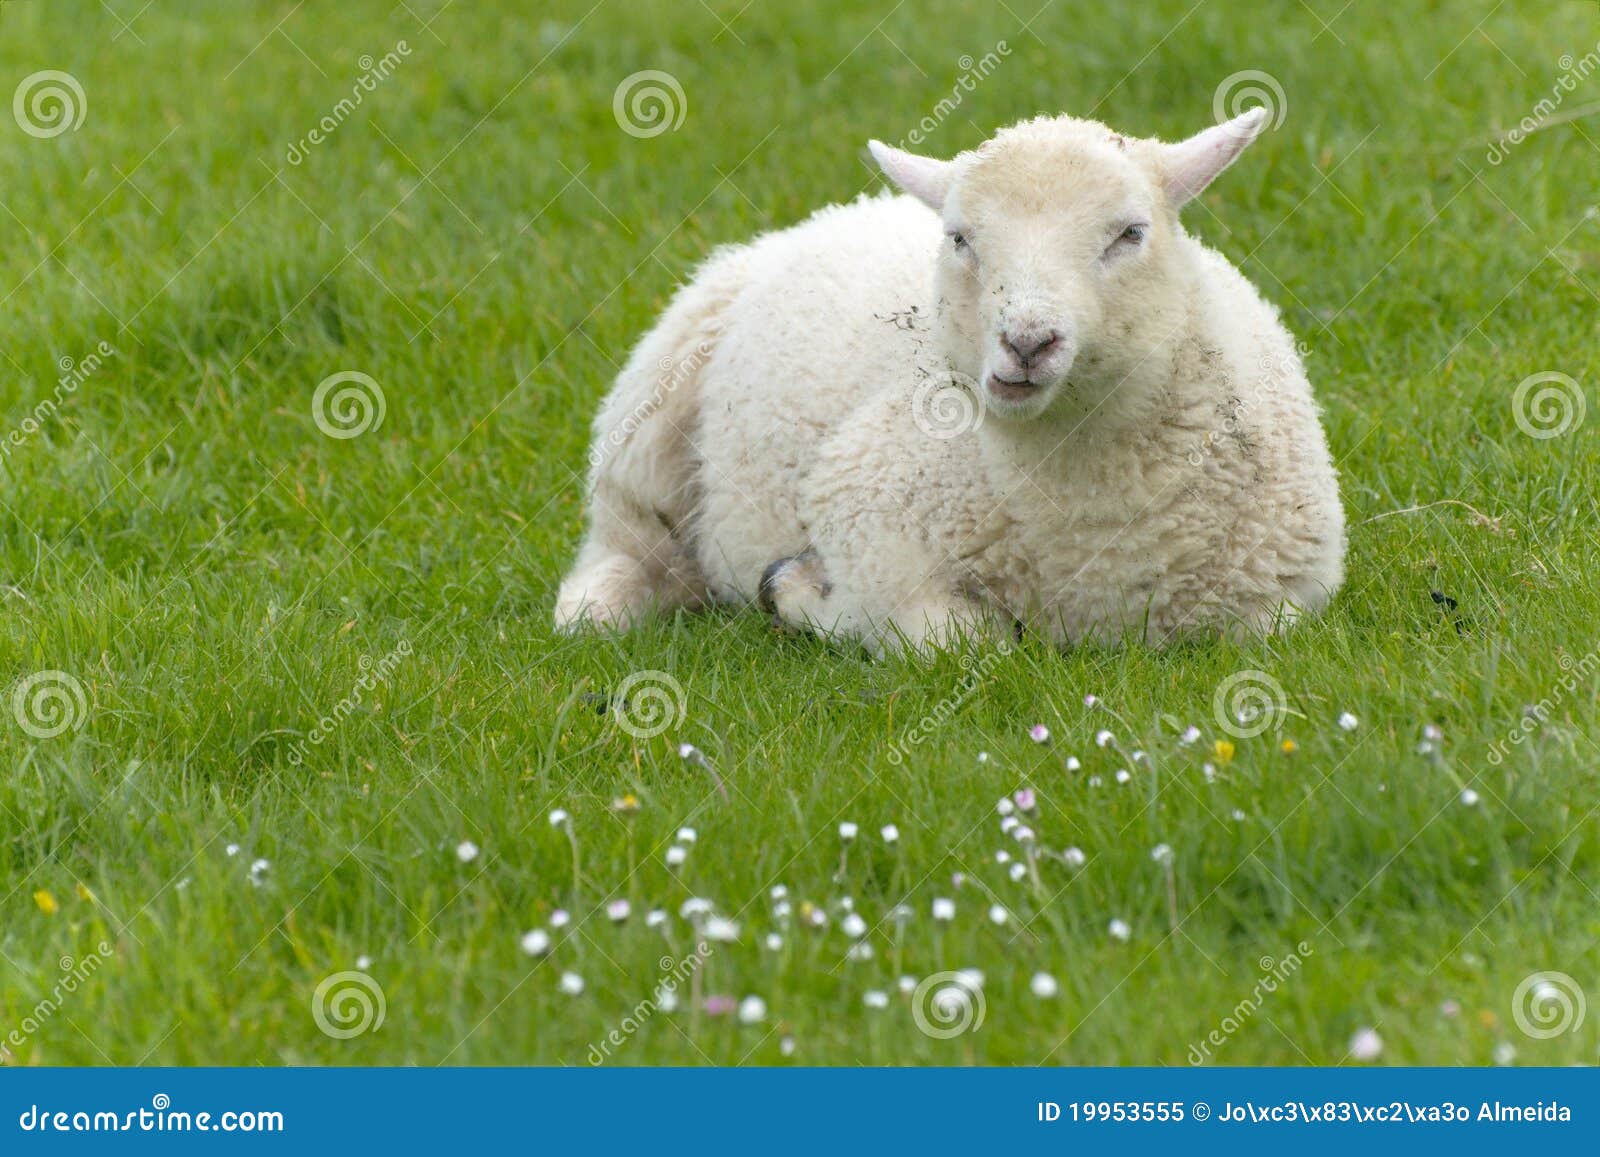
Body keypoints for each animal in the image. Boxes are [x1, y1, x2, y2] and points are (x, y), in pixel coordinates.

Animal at [555, 104, 1345, 653]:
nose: (1026, 342)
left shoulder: (1286, 594)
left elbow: (1266, 630)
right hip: (648, 413)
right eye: (960, 239)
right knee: (623, 541)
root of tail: (835, 211)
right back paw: (599, 608)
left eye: (1130, 234)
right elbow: (960, 644)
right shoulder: (863, 511)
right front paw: (799, 593)